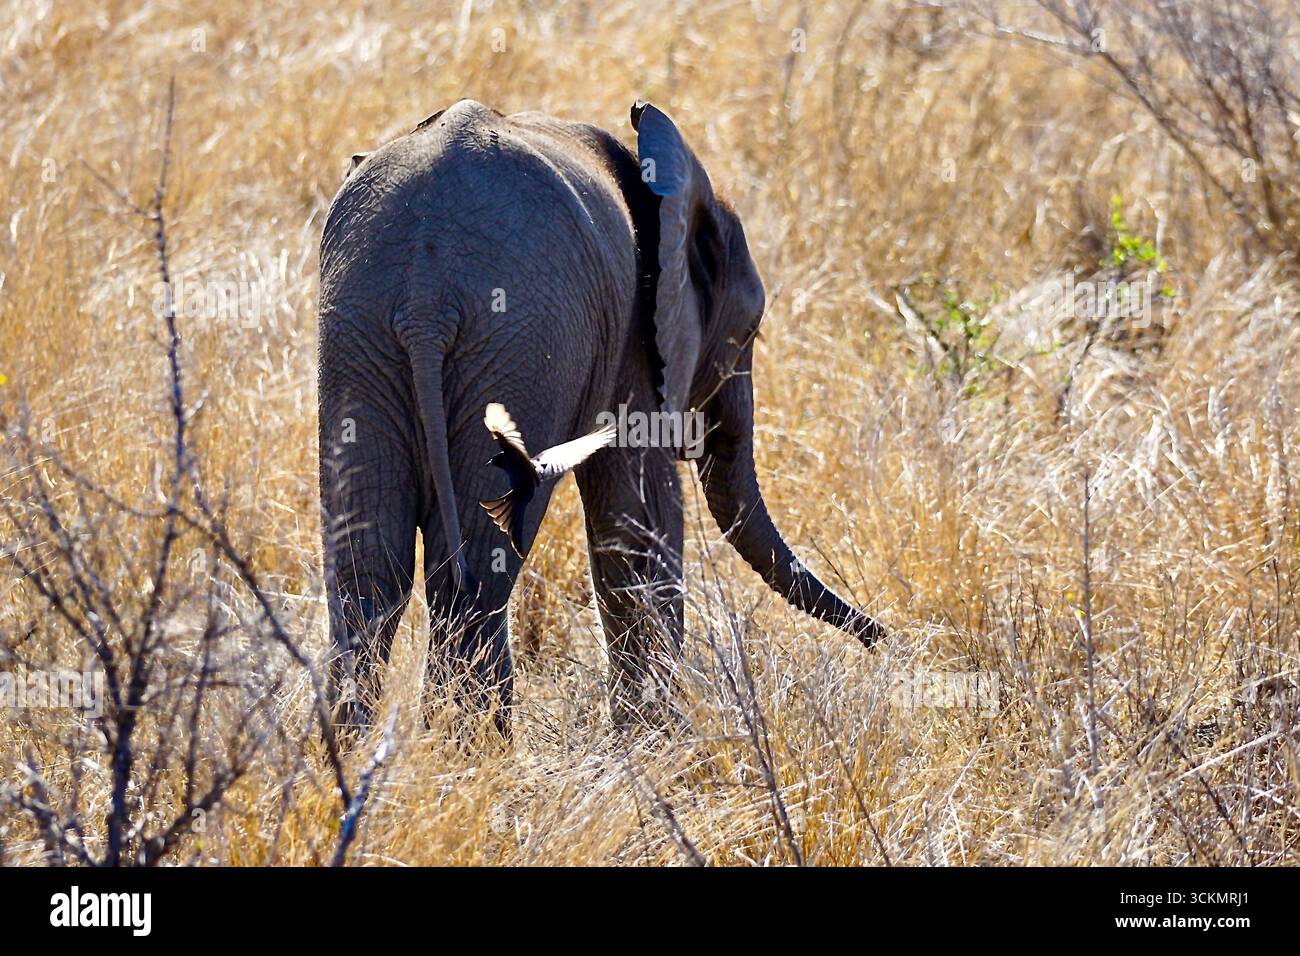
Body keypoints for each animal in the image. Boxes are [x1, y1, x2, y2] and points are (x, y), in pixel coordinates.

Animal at [317, 99, 884, 737]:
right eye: (750, 332)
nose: (882, 640)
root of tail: (424, 296)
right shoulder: (639, 335)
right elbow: (639, 516)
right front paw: (658, 741)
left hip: (357, 335)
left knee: (370, 565)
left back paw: (368, 749)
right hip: (515, 342)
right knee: (477, 570)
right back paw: (476, 752)